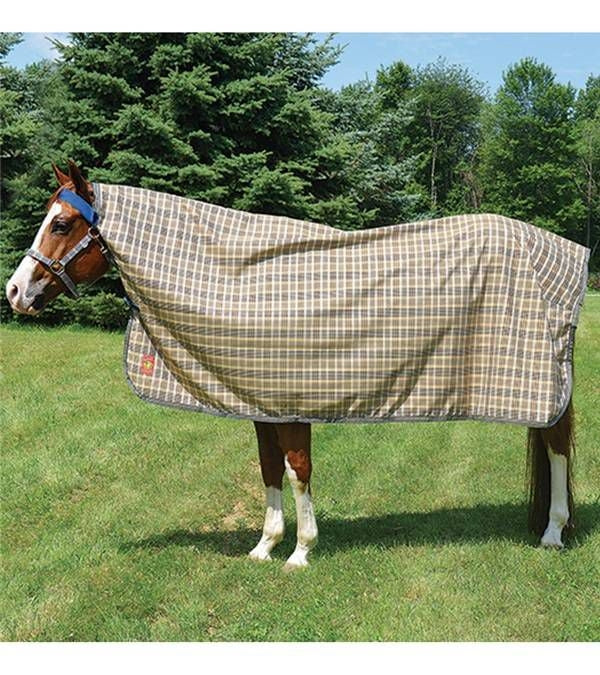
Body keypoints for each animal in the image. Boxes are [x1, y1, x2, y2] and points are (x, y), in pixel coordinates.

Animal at [6, 161, 583, 569]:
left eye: (62, 223)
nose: (15, 291)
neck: (241, 280)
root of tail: (563, 253)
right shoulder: (262, 401)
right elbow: (268, 469)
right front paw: (266, 545)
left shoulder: (293, 401)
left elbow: (299, 470)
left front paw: (302, 552)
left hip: (541, 384)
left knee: (556, 449)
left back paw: (553, 533)